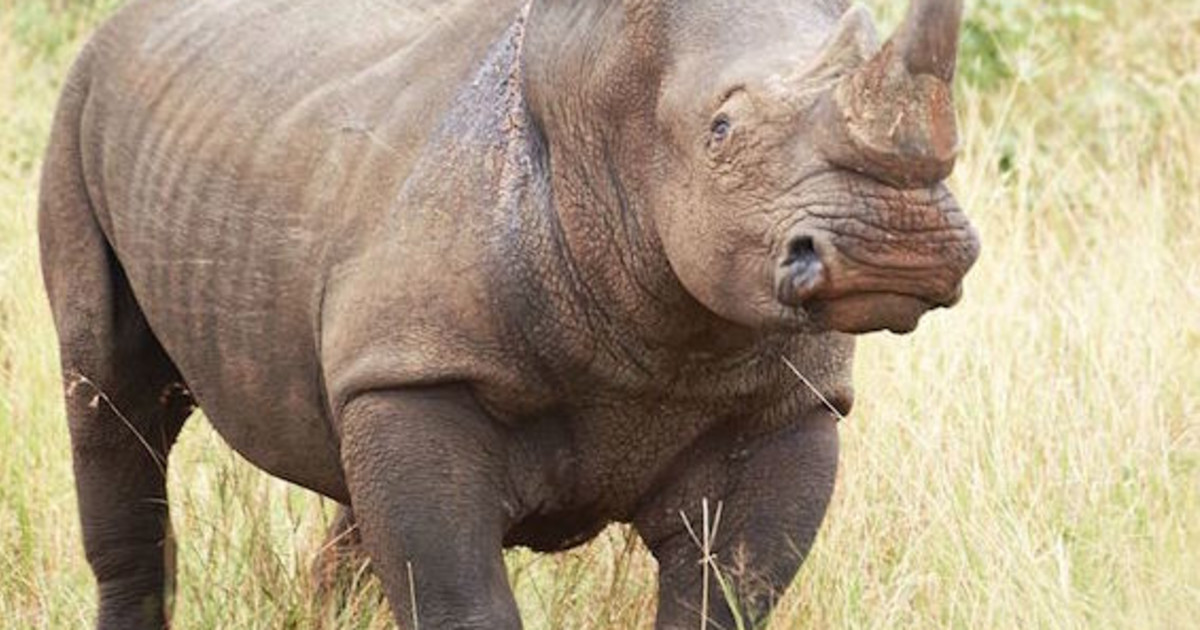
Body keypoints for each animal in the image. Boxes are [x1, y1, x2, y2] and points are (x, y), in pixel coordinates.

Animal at [38, 0, 979, 627]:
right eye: (721, 130)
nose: (899, 248)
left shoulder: (790, 407)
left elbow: (727, 597)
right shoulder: (427, 372)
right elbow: (456, 592)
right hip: (77, 104)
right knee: (112, 400)